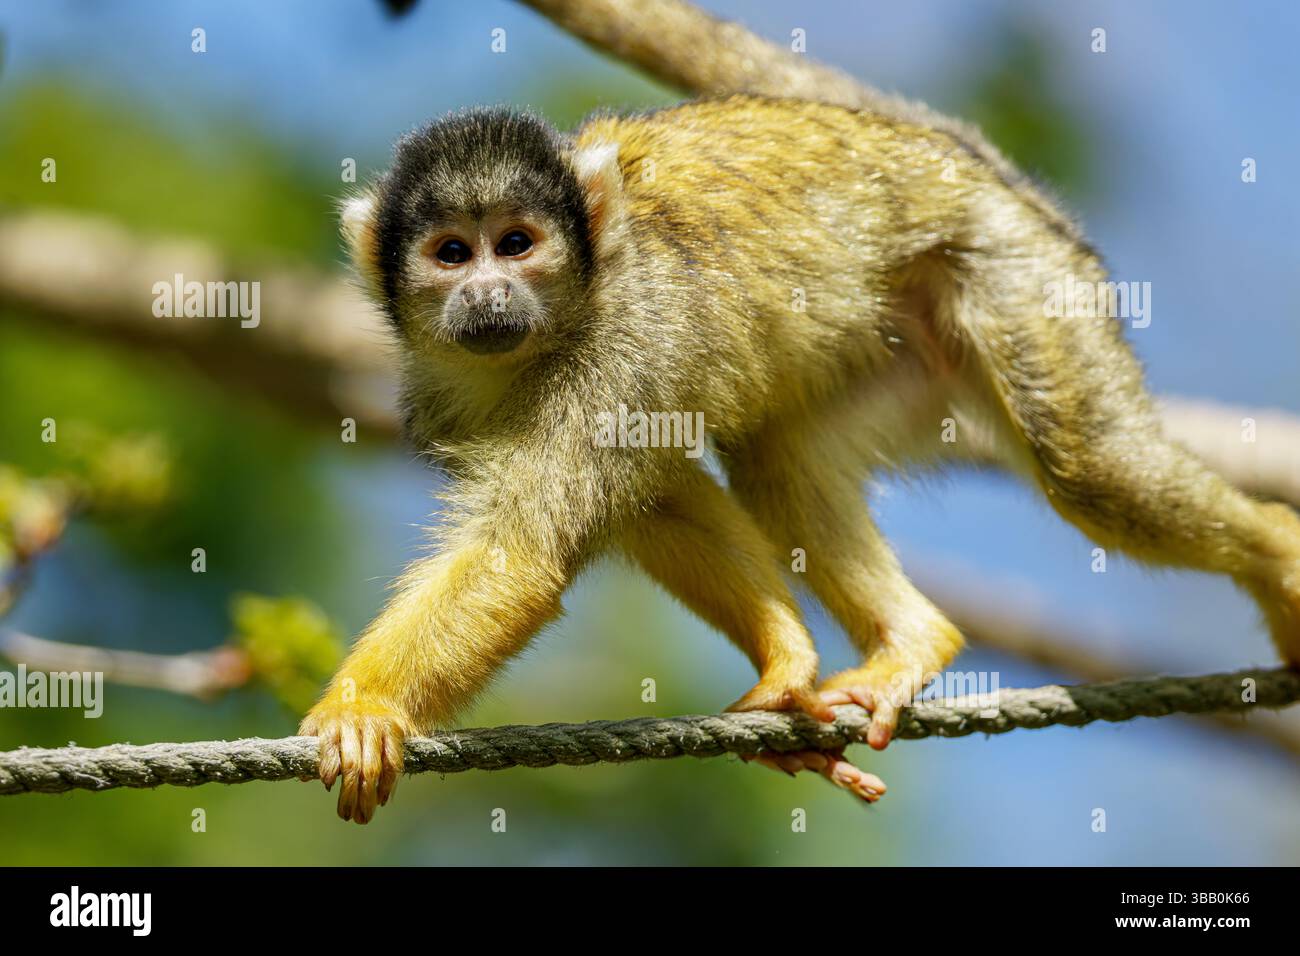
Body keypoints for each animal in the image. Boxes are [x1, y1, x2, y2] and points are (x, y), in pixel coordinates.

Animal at [301, 95, 1300, 823]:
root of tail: (985, 173)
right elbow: (657, 491)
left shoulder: (620, 349)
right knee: (773, 453)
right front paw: (788, 663)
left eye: (516, 243)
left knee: (1089, 470)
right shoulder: (440, 387)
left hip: (1016, 275)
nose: (489, 293)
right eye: (451, 254)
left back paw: (1280, 558)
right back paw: (912, 641)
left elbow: (523, 556)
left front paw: (364, 709)